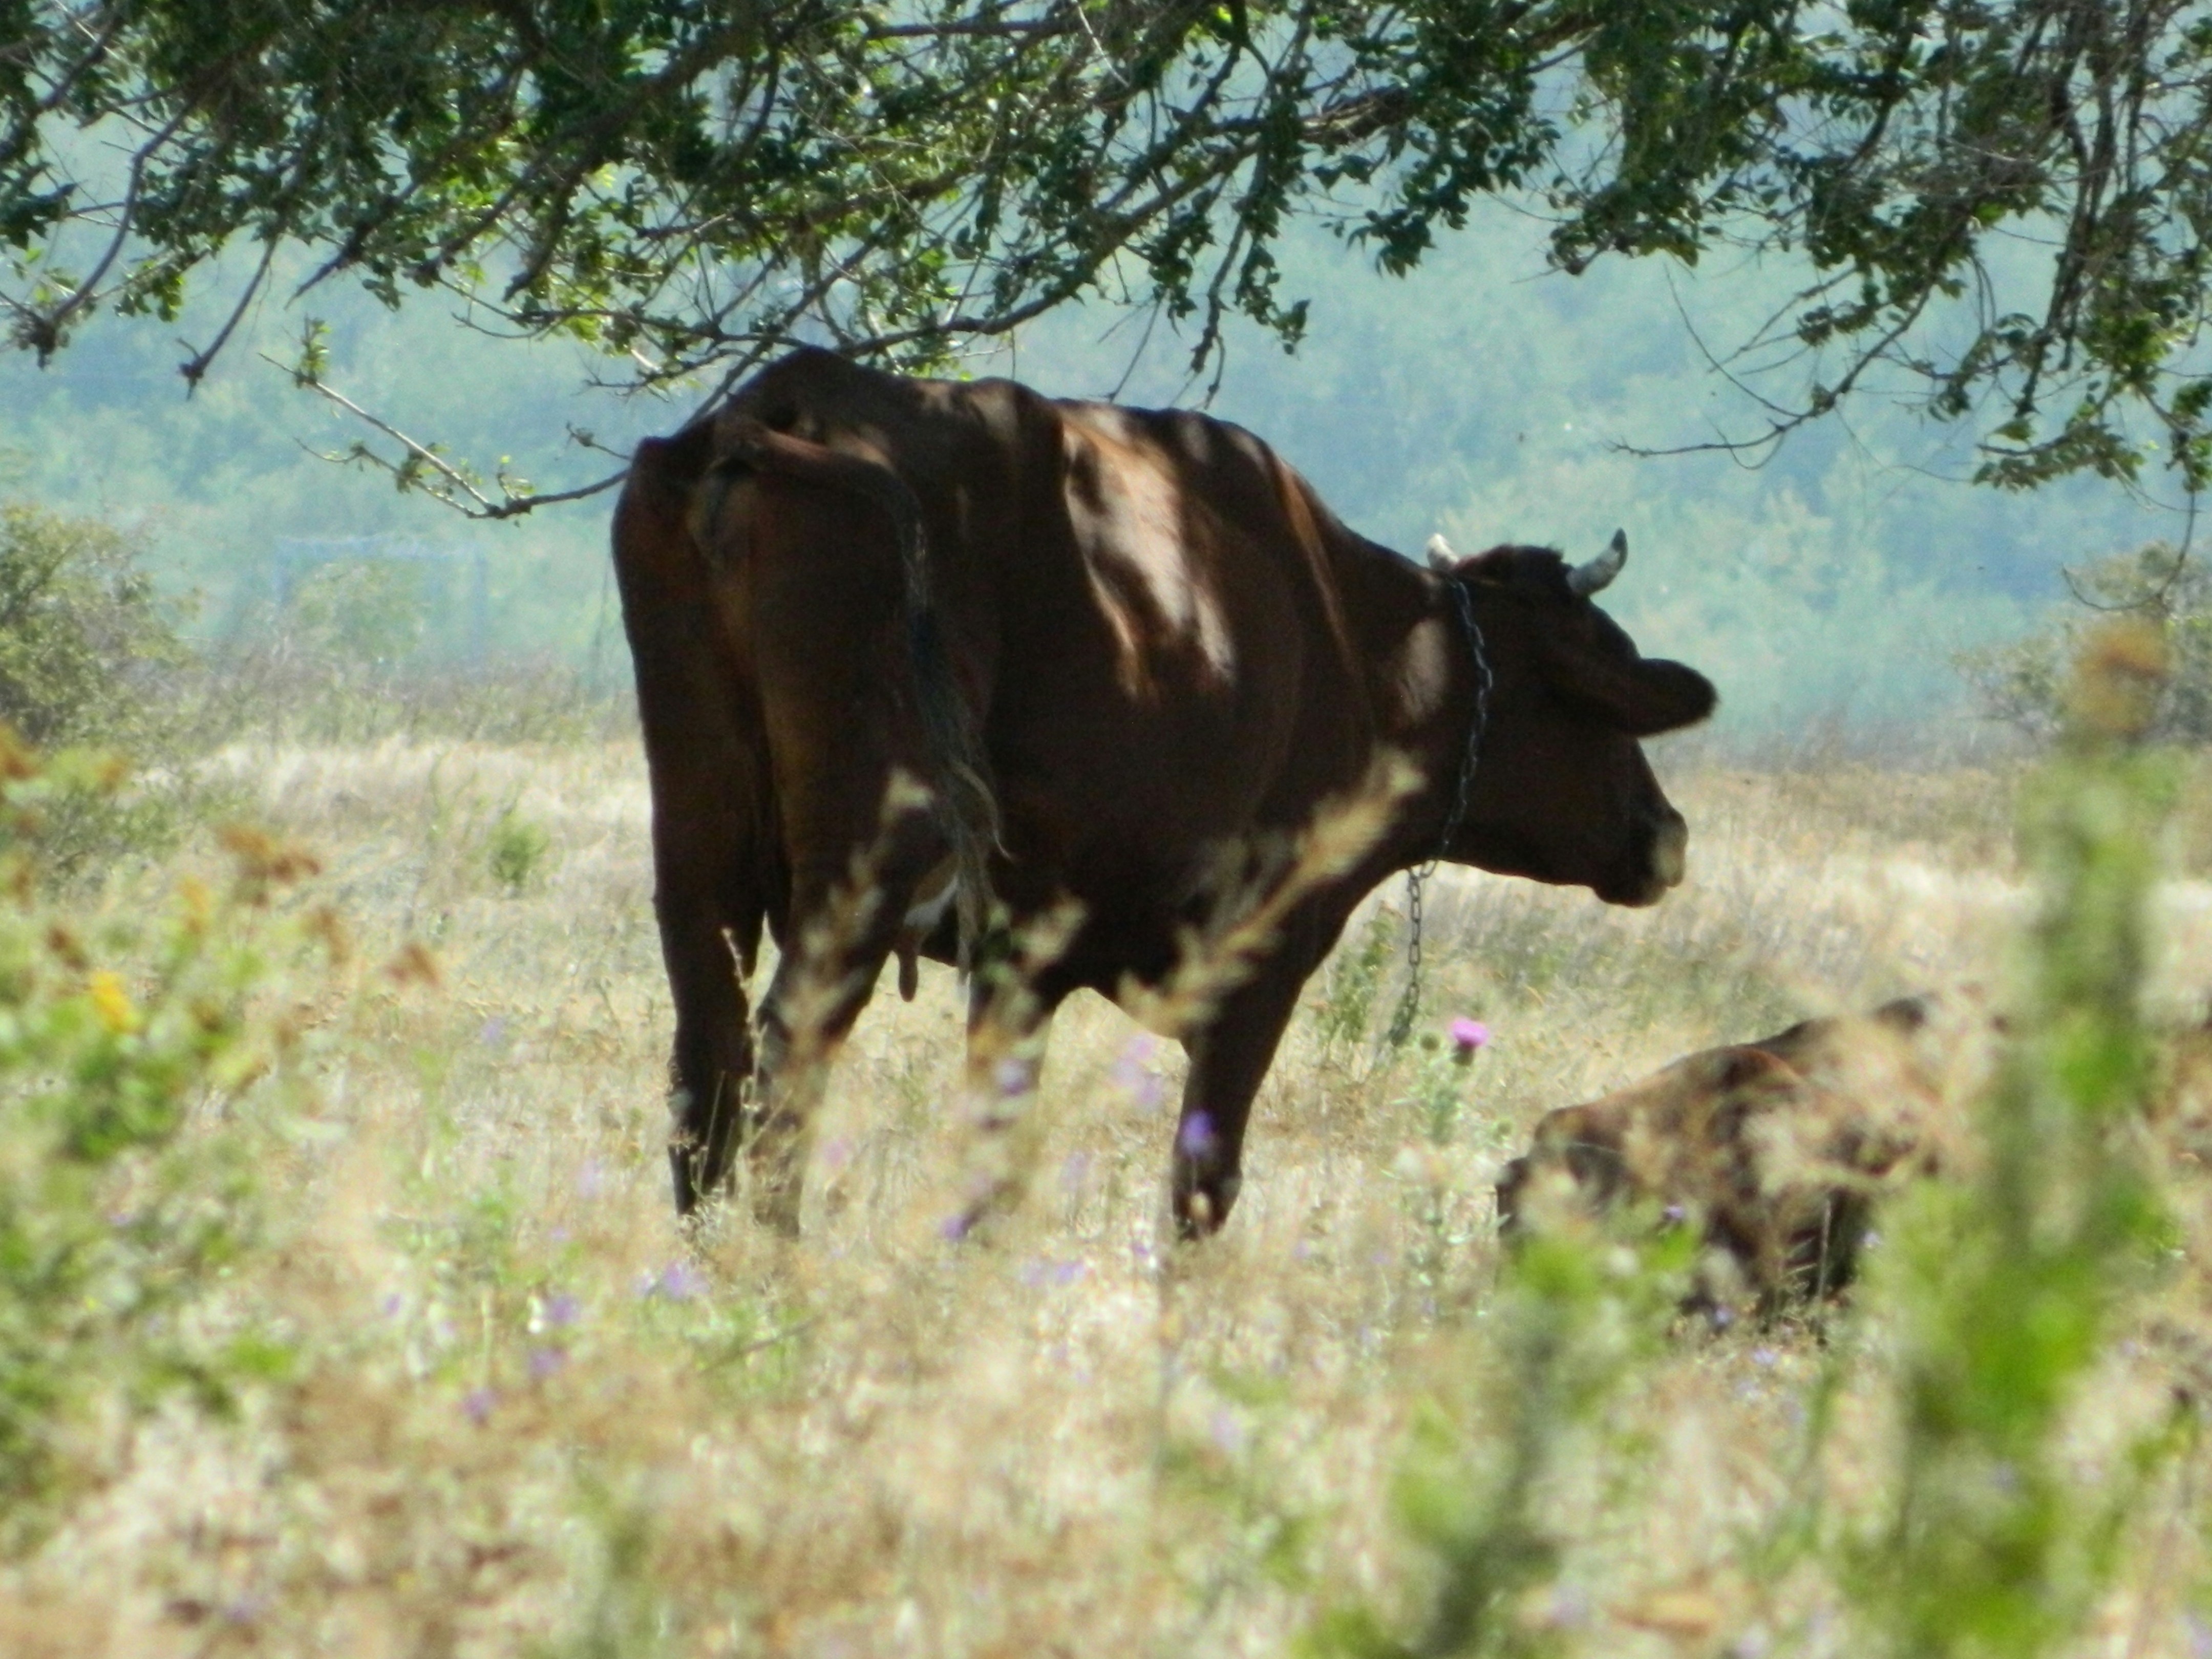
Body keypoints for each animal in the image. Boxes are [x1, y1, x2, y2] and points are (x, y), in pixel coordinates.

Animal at [612, 346, 1717, 1237]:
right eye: (1604, 697)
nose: (1665, 832)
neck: (1356, 640)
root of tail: (794, 399)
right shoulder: (1257, 960)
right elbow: (1201, 1190)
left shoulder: (1018, 958)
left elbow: (991, 1163)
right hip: (868, 856)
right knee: (786, 1058)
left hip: (700, 844)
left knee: (705, 1068)